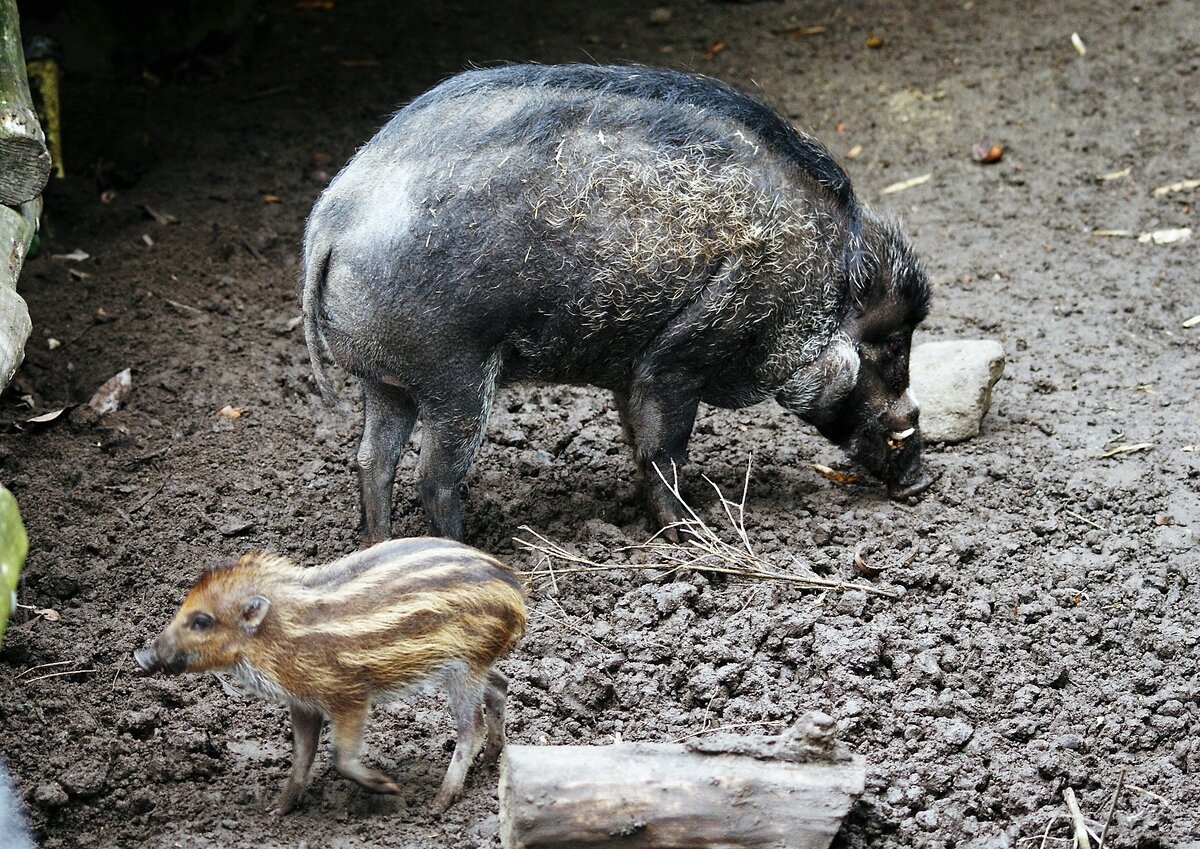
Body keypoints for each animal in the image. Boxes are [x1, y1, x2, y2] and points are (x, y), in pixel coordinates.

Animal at [302, 62, 936, 539]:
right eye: (890, 343)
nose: (923, 483)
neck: (821, 280)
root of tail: (331, 221)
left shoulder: (630, 371)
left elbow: (639, 444)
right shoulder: (679, 357)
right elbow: (664, 452)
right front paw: (690, 536)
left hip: (385, 378)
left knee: (372, 462)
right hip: (452, 375)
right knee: (433, 477)